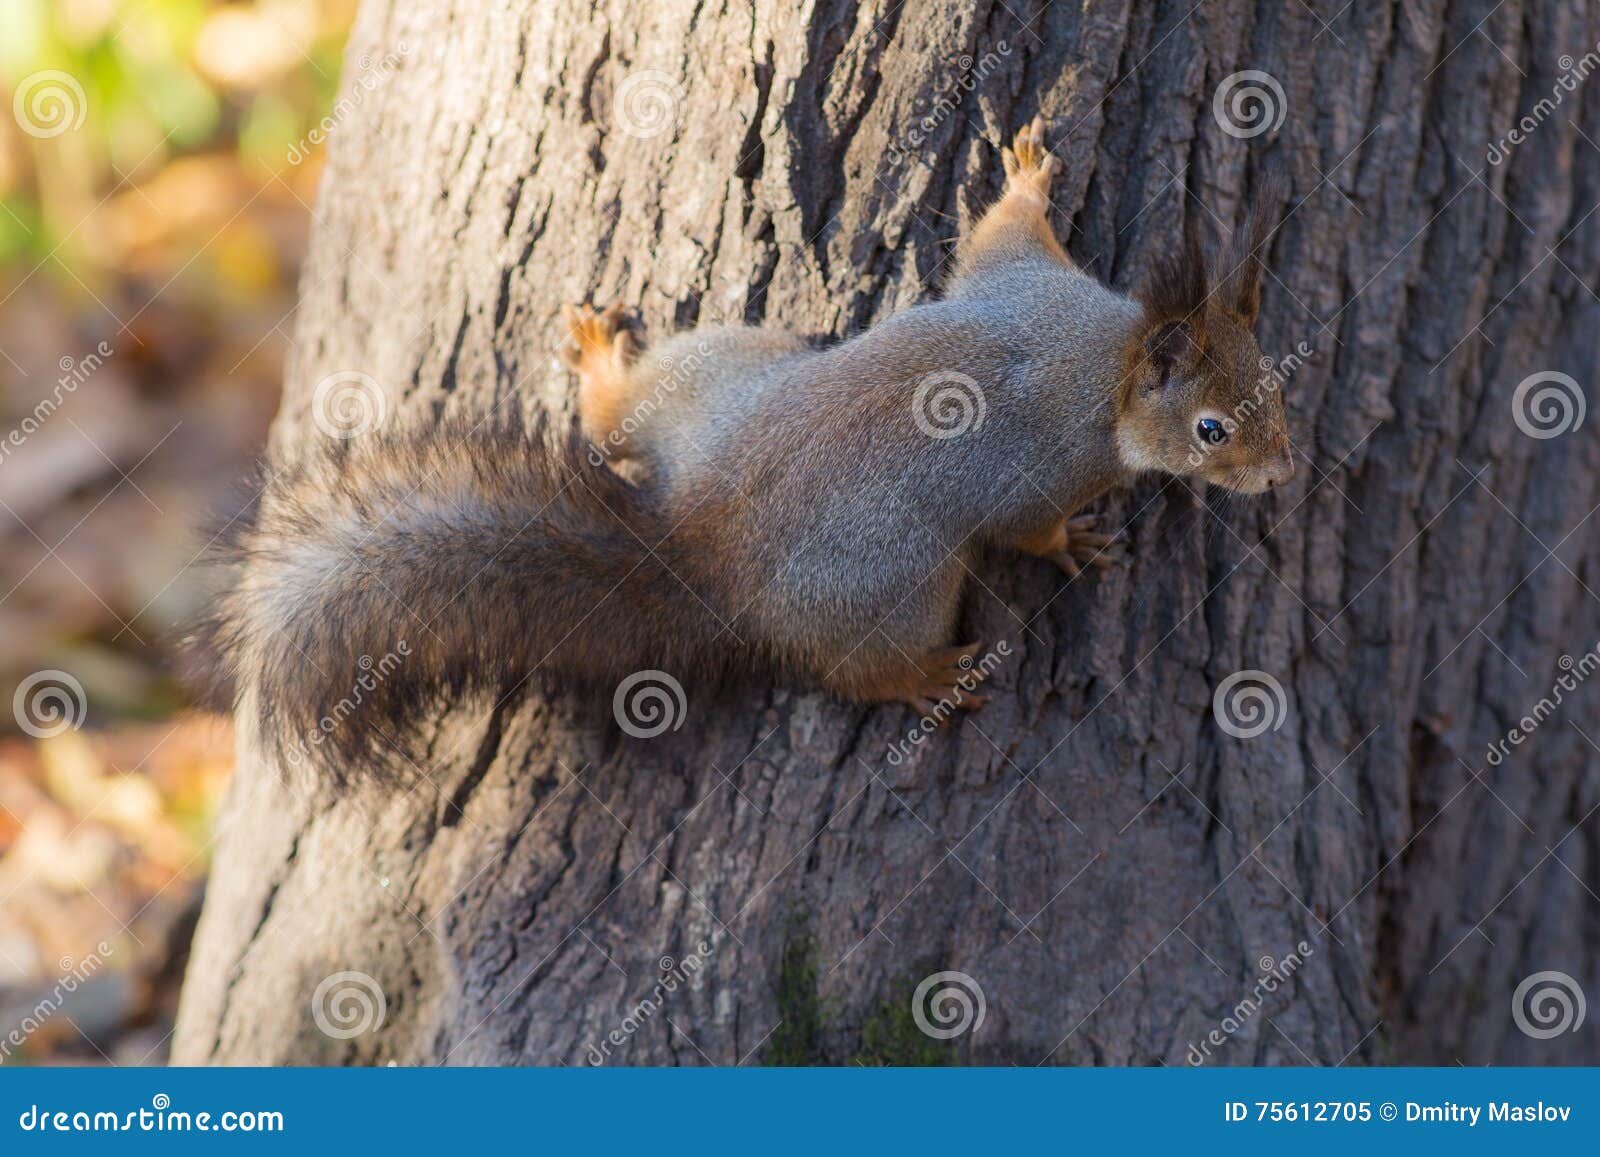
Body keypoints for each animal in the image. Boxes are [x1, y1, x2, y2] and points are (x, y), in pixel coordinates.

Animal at [198, 118, 1293, 783]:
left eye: (1273, 380)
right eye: (1210, 430)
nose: (1280, 469)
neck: (1104, 351)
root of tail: (703, 547)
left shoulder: (1021, 275)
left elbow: (1001, 227)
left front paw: (1027, 171)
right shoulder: (1045, 460)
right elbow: (1030, 527)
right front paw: (1077, 545)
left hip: (723, 367)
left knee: (618, 421)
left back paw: (601, 363)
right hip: (897, 584)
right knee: (856, 671)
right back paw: (926, 677)